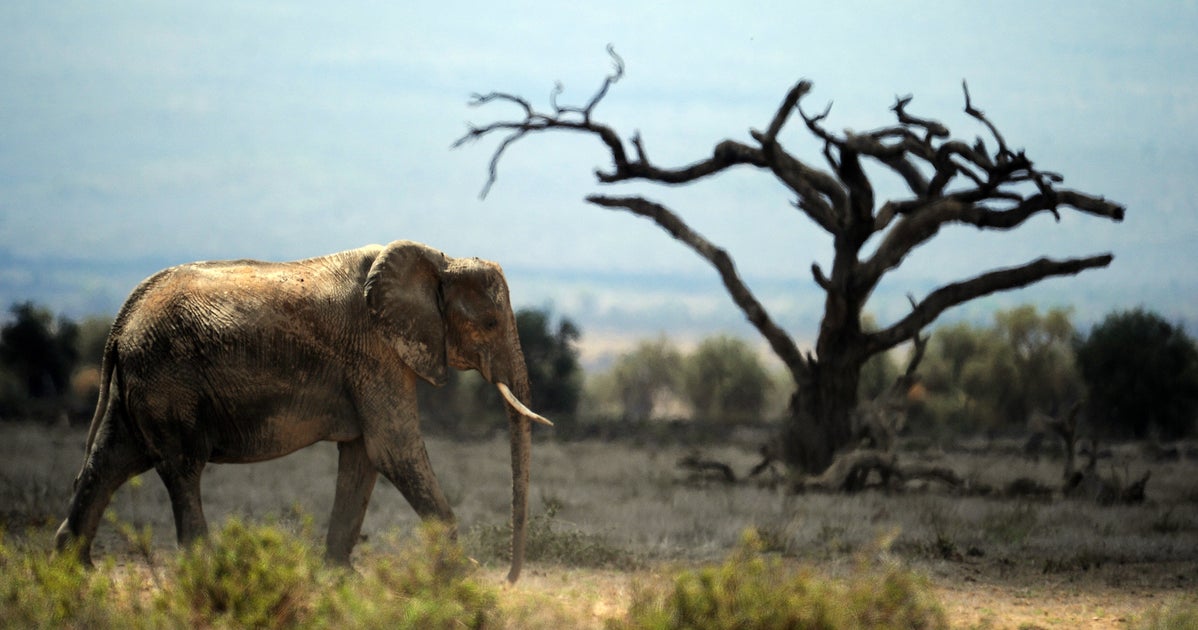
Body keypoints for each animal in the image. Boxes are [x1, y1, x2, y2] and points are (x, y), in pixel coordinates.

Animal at [54, 240, 551, 583]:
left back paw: (75, 568)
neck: (439, 257)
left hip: (143, 383)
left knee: (110, 460)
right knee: (181, 467)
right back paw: (207, 569)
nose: (508, 581)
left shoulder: (372, 364)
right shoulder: (375, 353)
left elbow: (364, 458)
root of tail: (121, 320)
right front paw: (461, 574)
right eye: (490, 323)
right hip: (169, 379)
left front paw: (340, 576)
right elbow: (393, 450)